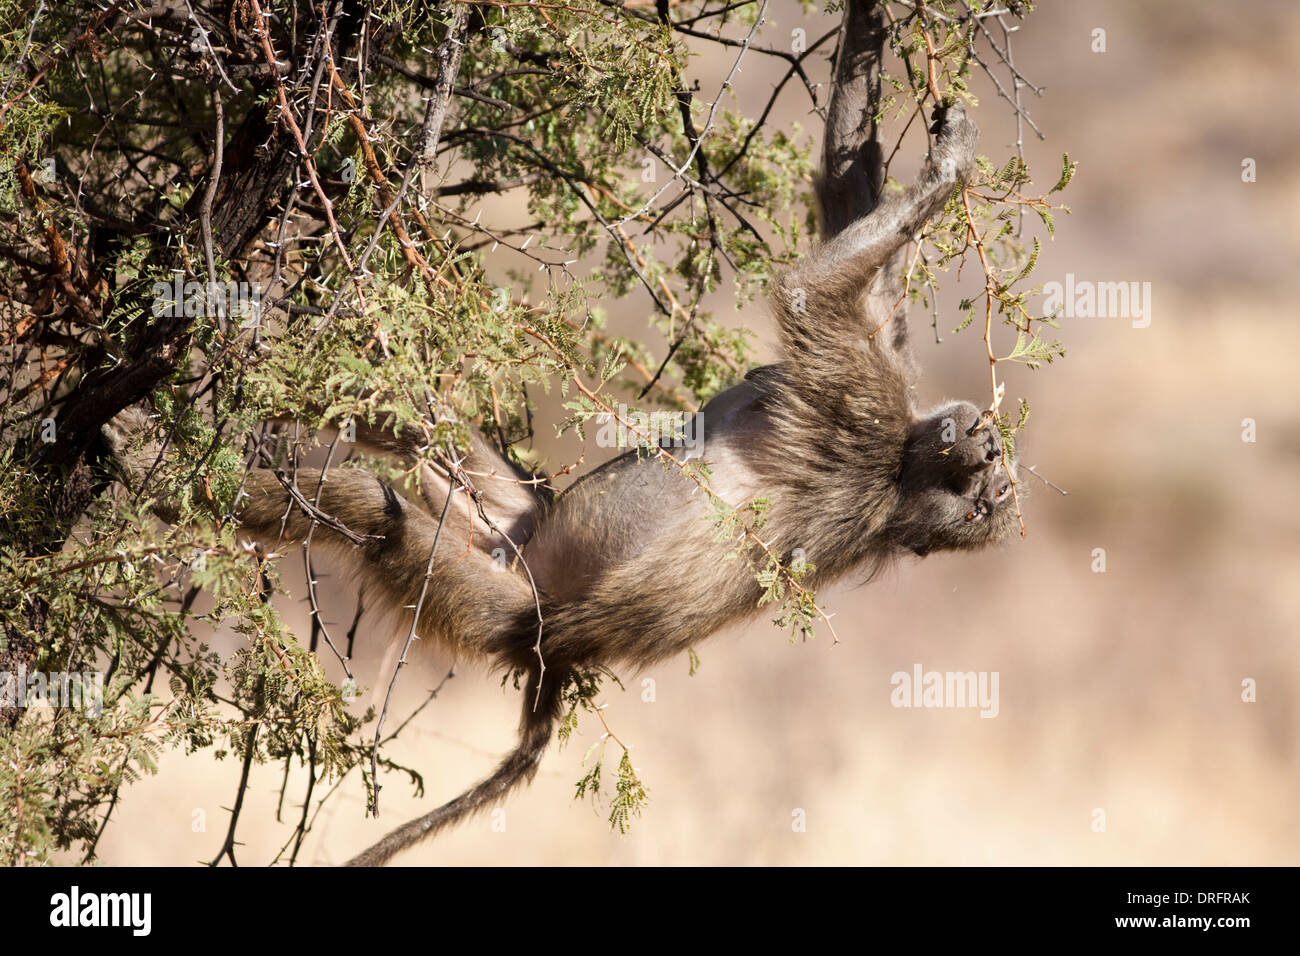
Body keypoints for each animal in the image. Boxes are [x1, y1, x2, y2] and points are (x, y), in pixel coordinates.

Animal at [102, 0, 1019, 866]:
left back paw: (152, 458)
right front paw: (883, 36)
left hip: (491, 605)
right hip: (504, 519)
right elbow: (846, 206)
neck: (897, 477)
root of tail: (556, 655)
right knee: (420, 426)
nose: (988, 447)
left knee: (373, 510)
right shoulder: (887, 378)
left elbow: (811, 292)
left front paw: (949, 166)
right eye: (989, 487)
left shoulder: (861, 400)